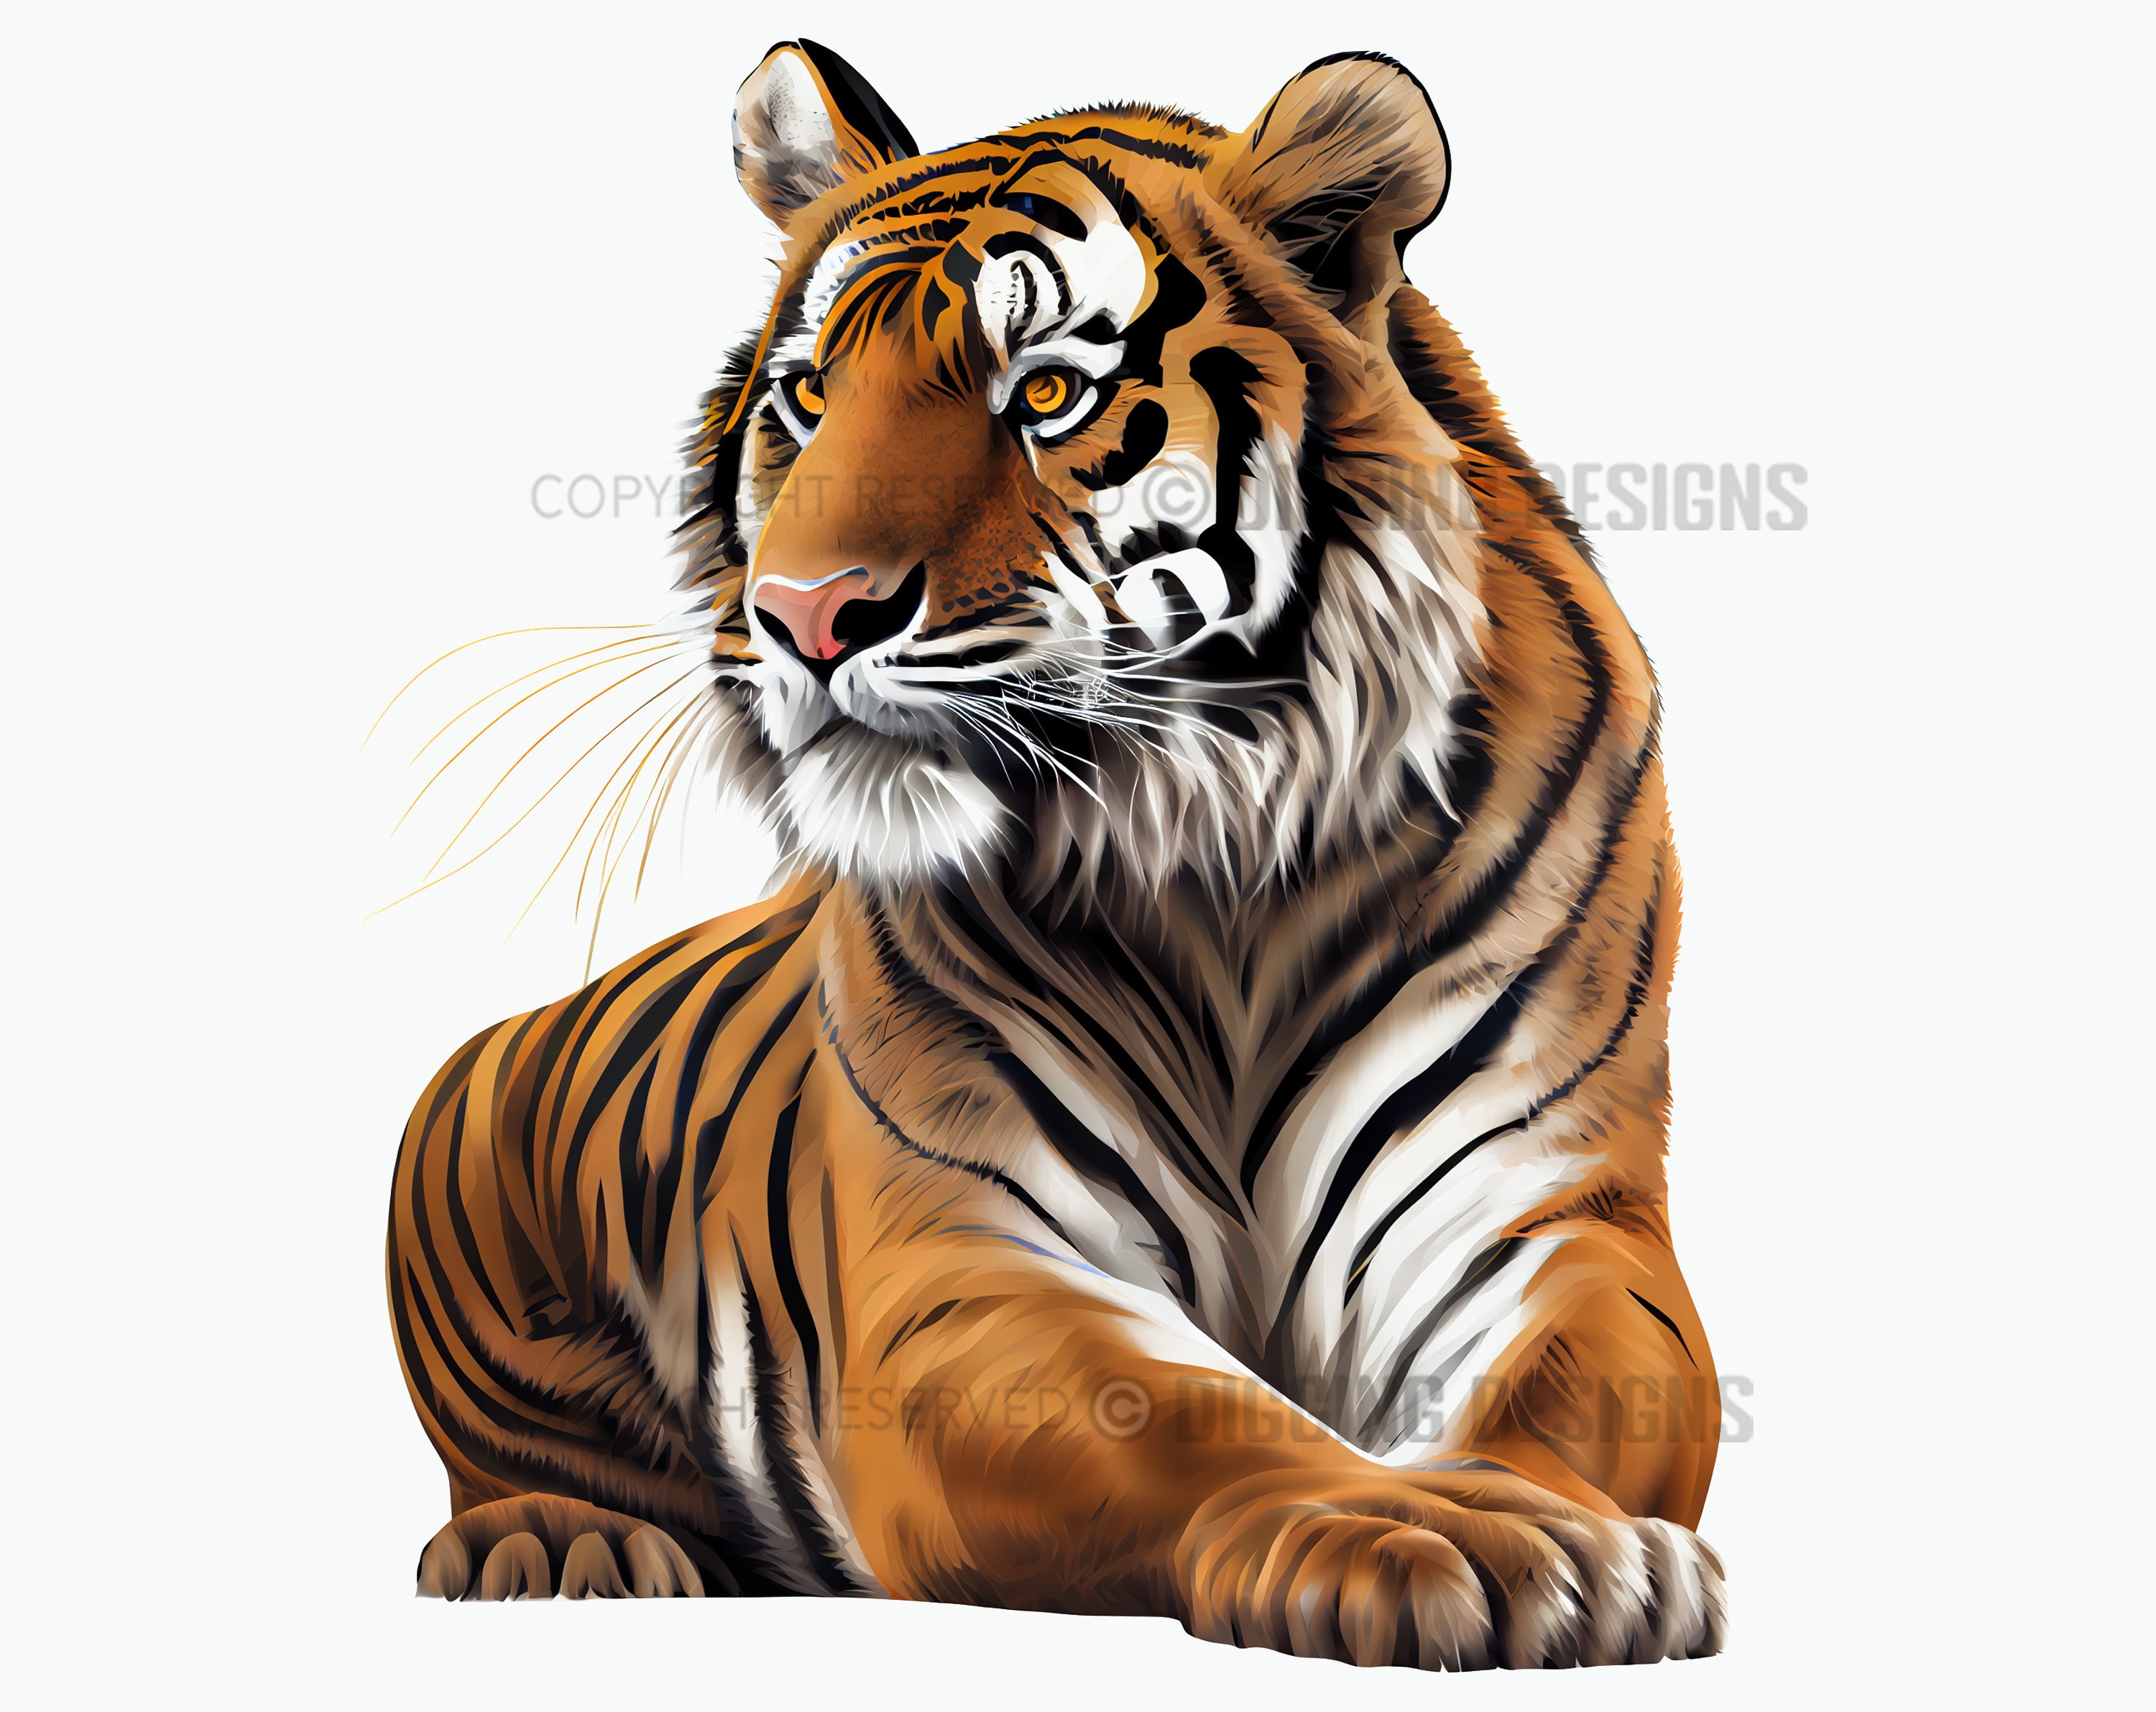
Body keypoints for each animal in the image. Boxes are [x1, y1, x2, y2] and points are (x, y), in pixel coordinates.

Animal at [387, 39, 1727, 1669]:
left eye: (1044, 393)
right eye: (811, 396)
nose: (803, 615)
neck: (1224, 871)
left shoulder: (1543, 1208)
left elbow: (1571, 1387)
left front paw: (1549, 1532)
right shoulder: (962, 1262)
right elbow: (1191, 1415)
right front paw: (1433, 1533)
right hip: (454, 1134)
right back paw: (561, 1541)